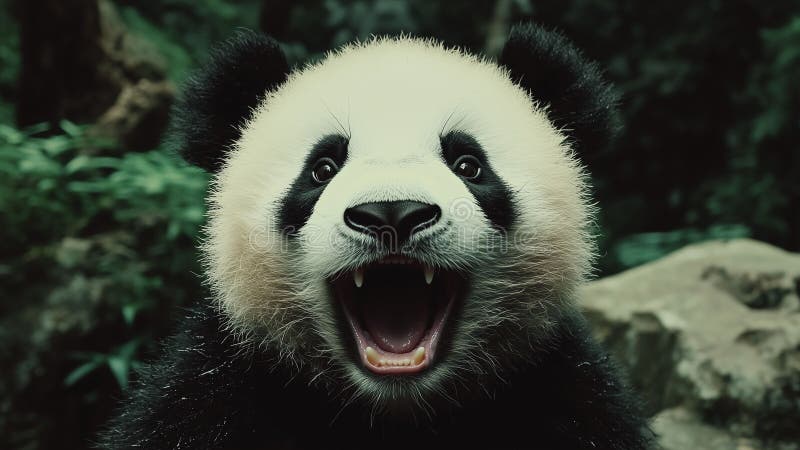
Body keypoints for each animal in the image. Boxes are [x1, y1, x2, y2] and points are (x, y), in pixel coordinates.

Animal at [100, 23, 653, 449]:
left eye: (468, 164)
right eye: (322, 168)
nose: (393, 212)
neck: (394, 412)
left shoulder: (564, 392)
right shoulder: (212, 390)